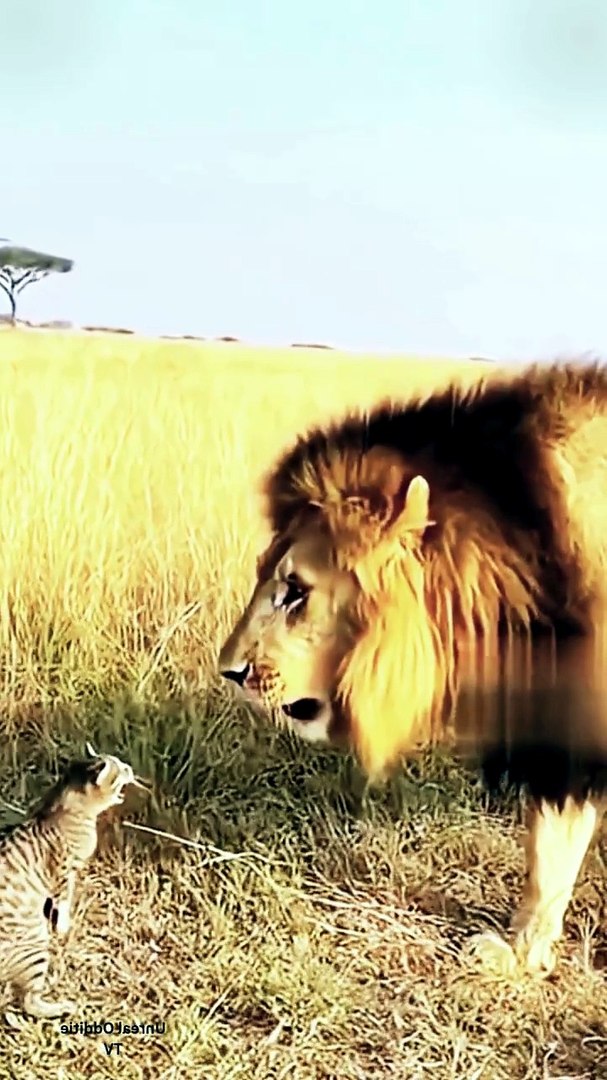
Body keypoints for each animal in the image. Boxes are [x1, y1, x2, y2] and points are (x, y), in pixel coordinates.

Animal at [218, 359, 607, 977]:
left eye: (296, 590)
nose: (228, 672)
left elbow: (555, 837)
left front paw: (518, 953)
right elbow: (551, 838)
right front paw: (523, 952)